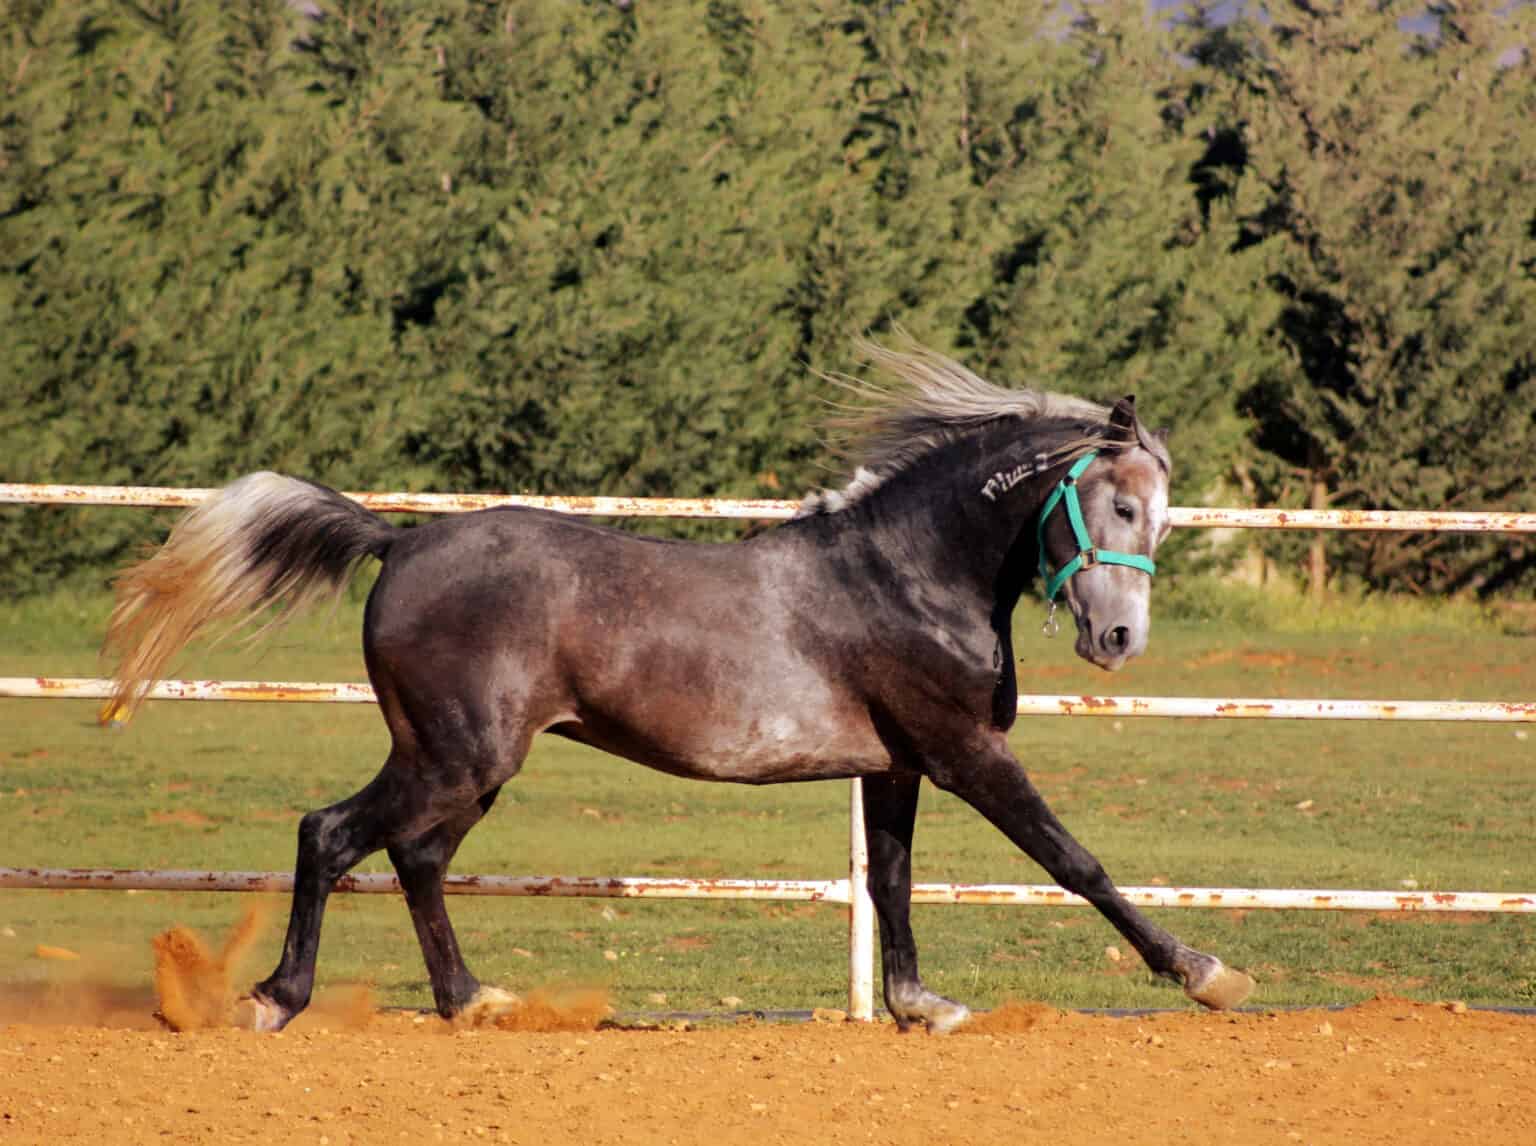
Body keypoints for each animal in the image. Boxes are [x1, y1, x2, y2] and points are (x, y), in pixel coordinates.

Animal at [104, 340, 1253, 1032]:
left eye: (1163, 517)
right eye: (1115, 504)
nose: (1118, 638)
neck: (904, 573)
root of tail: (402, 541)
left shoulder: (896, 767)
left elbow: (889, 883)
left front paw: (920, 1005)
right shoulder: (966, 752)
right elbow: (1073, 861)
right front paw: (1206, 972)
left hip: (466, 764)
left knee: (415, 857)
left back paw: (473, 1001)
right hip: (453, 754)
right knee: (332, 835)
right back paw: (275, 999)